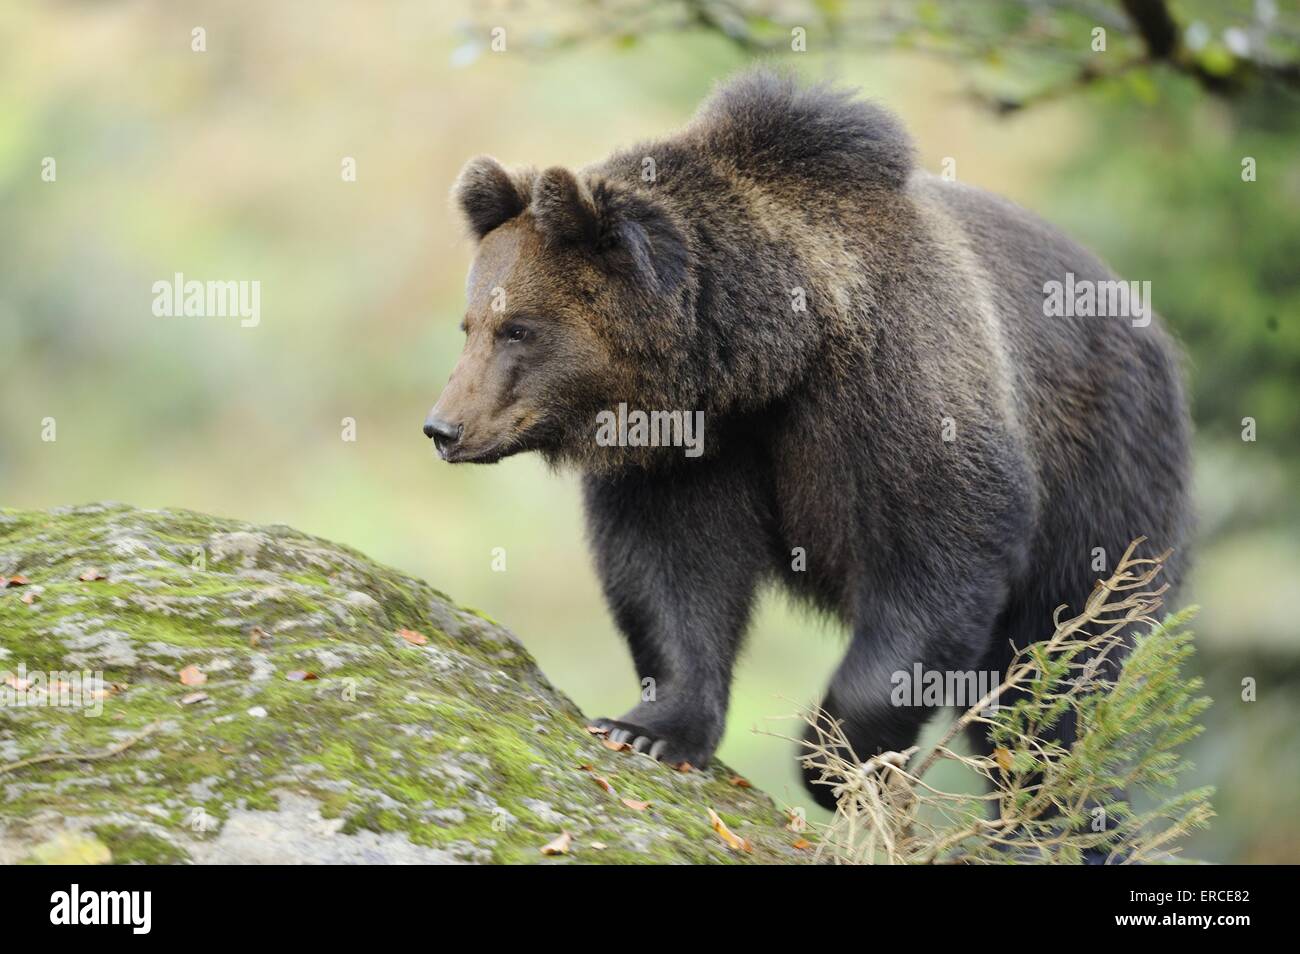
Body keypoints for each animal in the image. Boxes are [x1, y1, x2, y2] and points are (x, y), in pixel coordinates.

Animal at [423, 69, 1191, 813]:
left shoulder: (899, 391)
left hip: (1108, 481)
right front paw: (649, 727)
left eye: (517, 328)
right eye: (470, 324)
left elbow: (942, 557)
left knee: (1059, 674)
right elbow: (671, 571)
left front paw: (831, 759)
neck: (772, 358)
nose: (443, 427)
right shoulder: (690, 451)